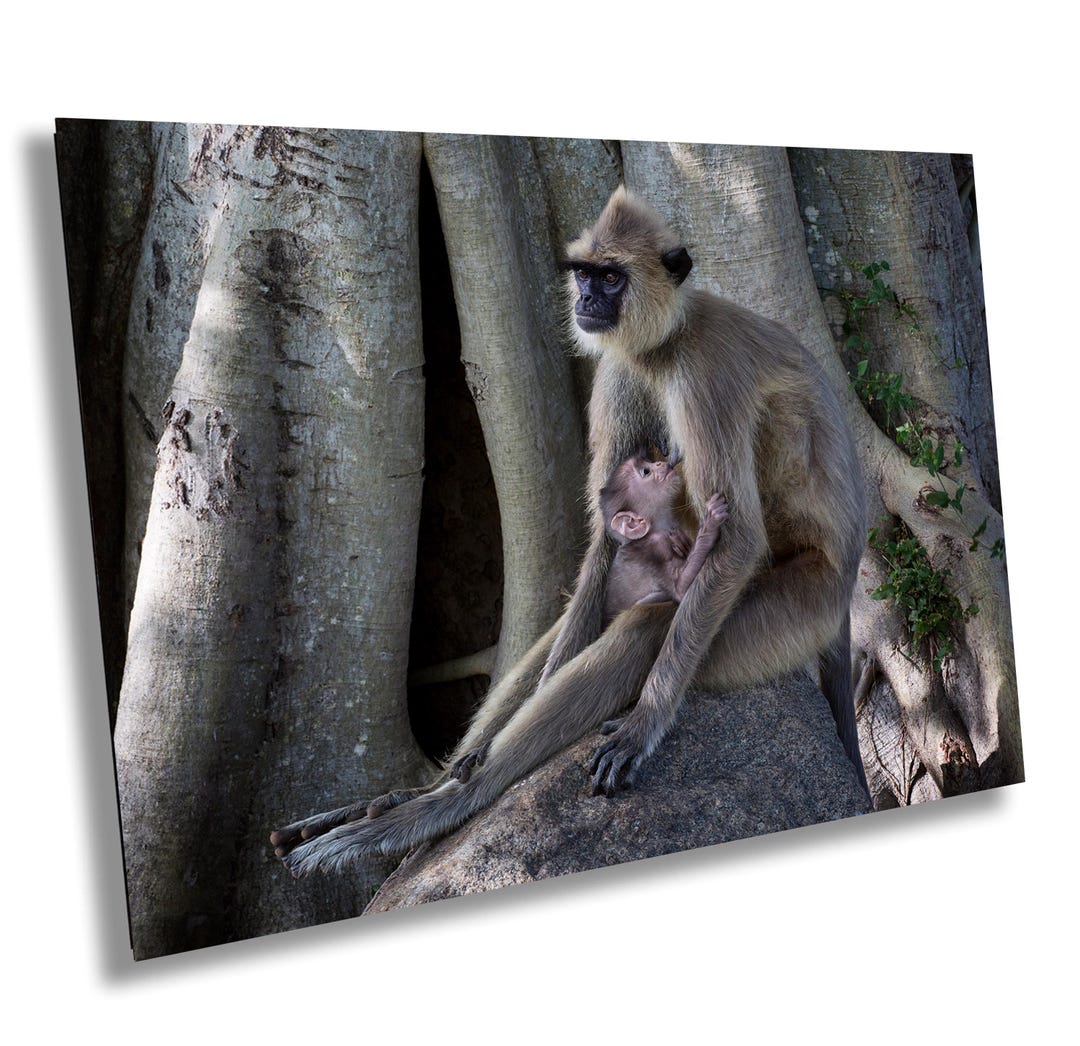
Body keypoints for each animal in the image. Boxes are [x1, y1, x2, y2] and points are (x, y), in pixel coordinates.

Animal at [271, 185, 868, 874]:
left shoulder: (704, 374)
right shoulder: (619, 368)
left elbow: (737, 538)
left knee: (649, 626)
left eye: (611, 278)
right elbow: (604, 537)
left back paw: (426, 813)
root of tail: (845, 587)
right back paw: (425, 791)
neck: (667, 339)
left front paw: (643, 724)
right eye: (584, 274)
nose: (586, 300)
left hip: (795, 610)